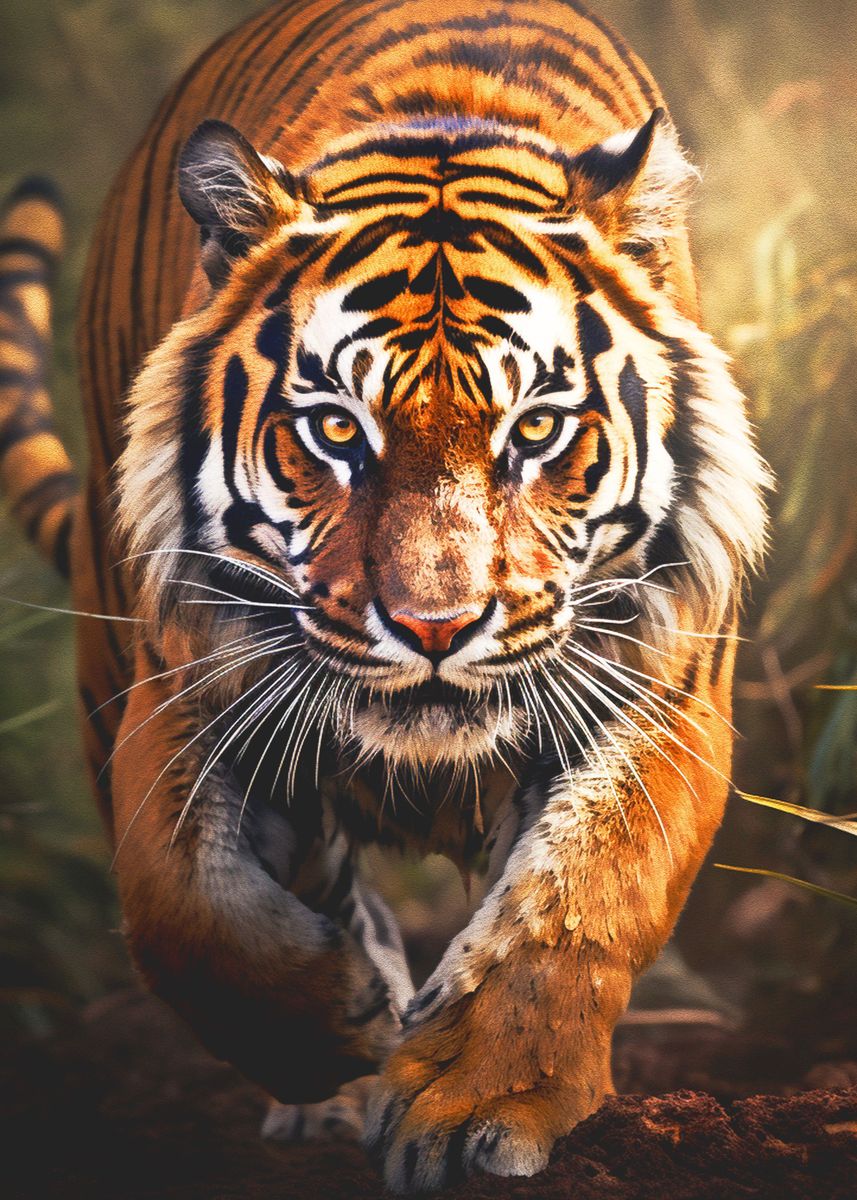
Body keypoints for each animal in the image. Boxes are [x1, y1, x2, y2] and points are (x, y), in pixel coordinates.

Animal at [0, 0, 769, 1191]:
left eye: (534, 430)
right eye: (333, 429)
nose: (433, 629)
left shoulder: (665, 690)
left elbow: (580, 897)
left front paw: (477, 1103)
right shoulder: (174, 693)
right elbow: (184, 911)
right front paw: (344, 1033)